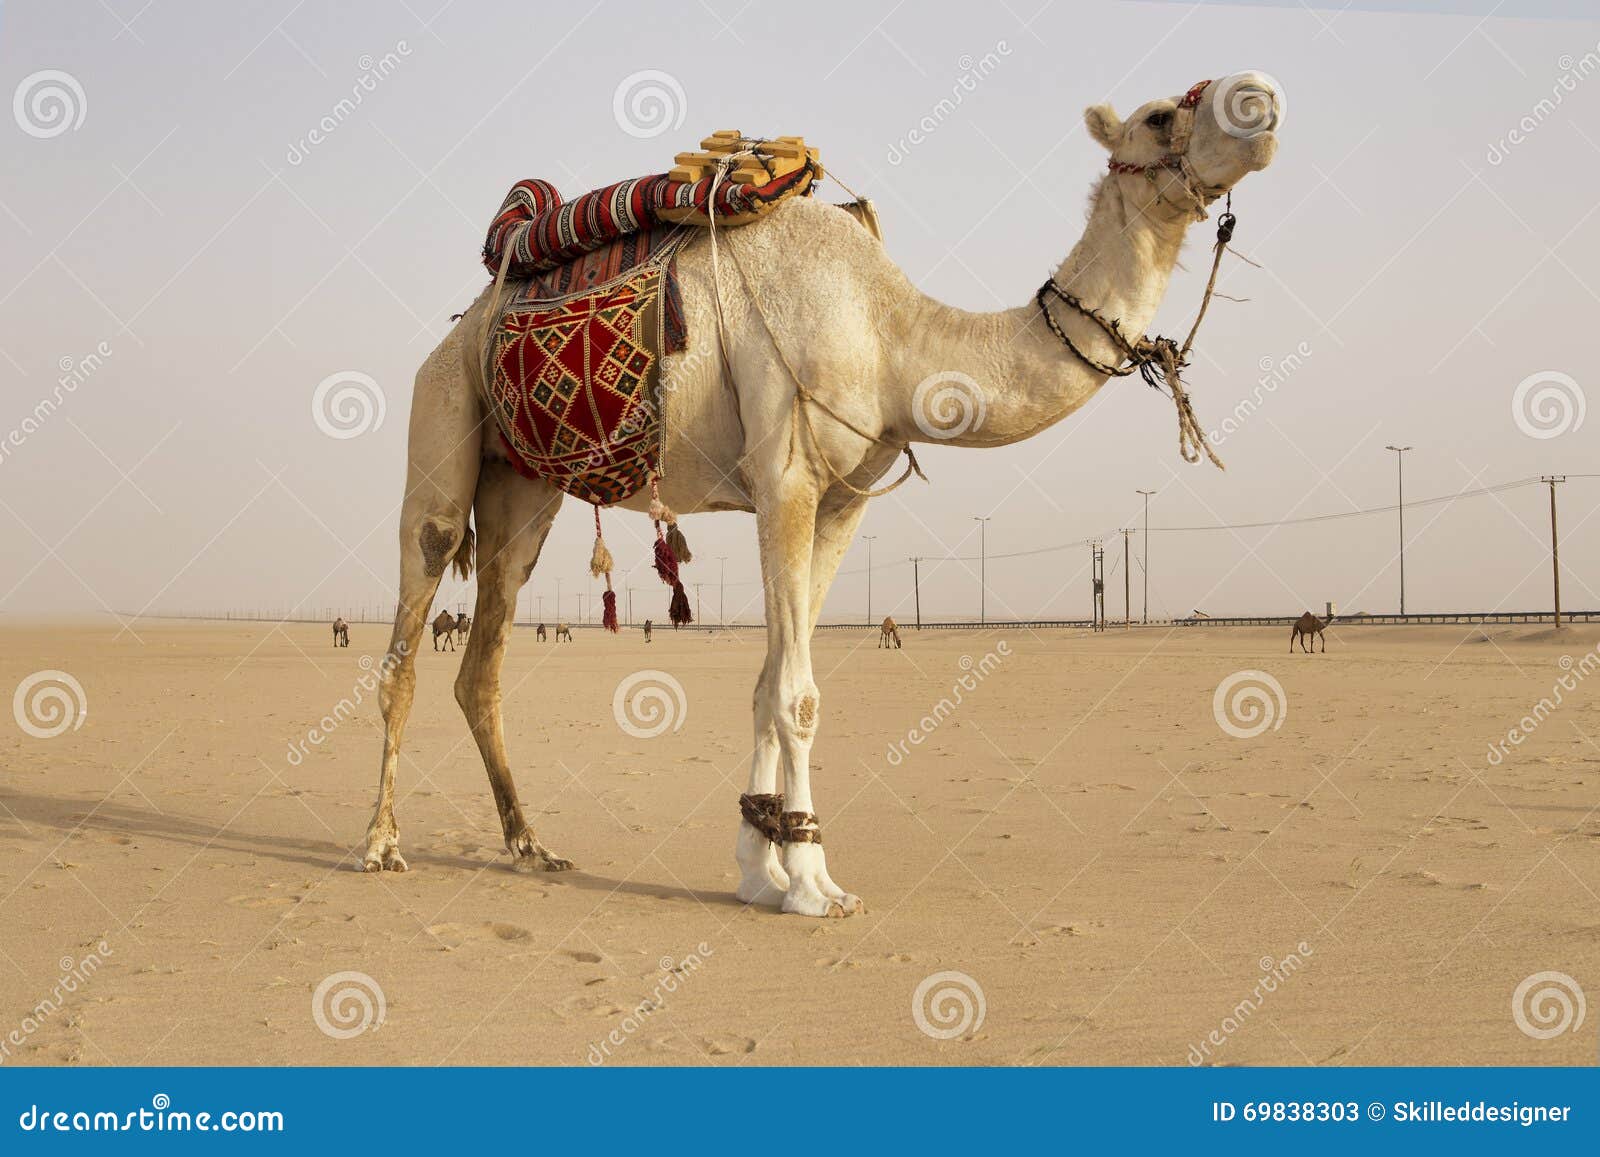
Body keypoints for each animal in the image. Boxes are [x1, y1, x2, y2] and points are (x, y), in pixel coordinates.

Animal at [360, 74, 1280, 914]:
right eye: (1159, 115)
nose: (1261, 96)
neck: (894, 339)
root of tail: (464, 323)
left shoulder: (844, 499)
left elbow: (769, 684)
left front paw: (758, 866)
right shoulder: (786, 476)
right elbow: (797, 695)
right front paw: (811, 880)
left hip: (525, 492)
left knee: (483, 660)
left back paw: (530, 843)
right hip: (441, 414)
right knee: (410, 625)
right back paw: (381, 844)